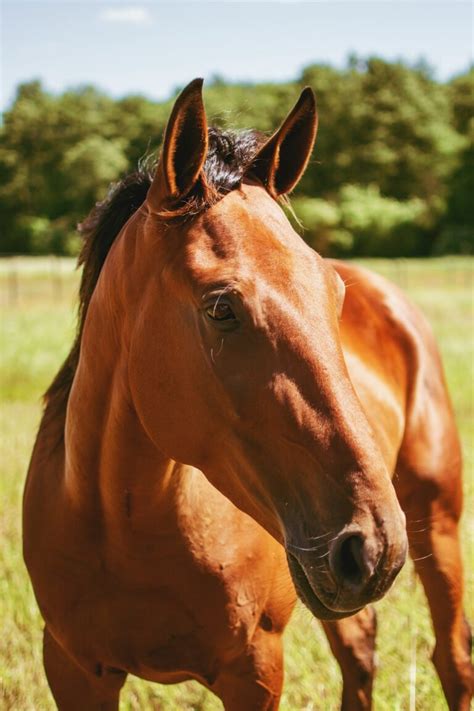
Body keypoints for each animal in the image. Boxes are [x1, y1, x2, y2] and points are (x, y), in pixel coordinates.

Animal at [23, 79, 472, 710]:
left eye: (333, 295)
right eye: (220, 307)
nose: (374, 546)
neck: (122, 527)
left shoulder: (254, 671)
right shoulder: (73, 670)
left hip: (439, 521)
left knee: (452, 660)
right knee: (358, 656)